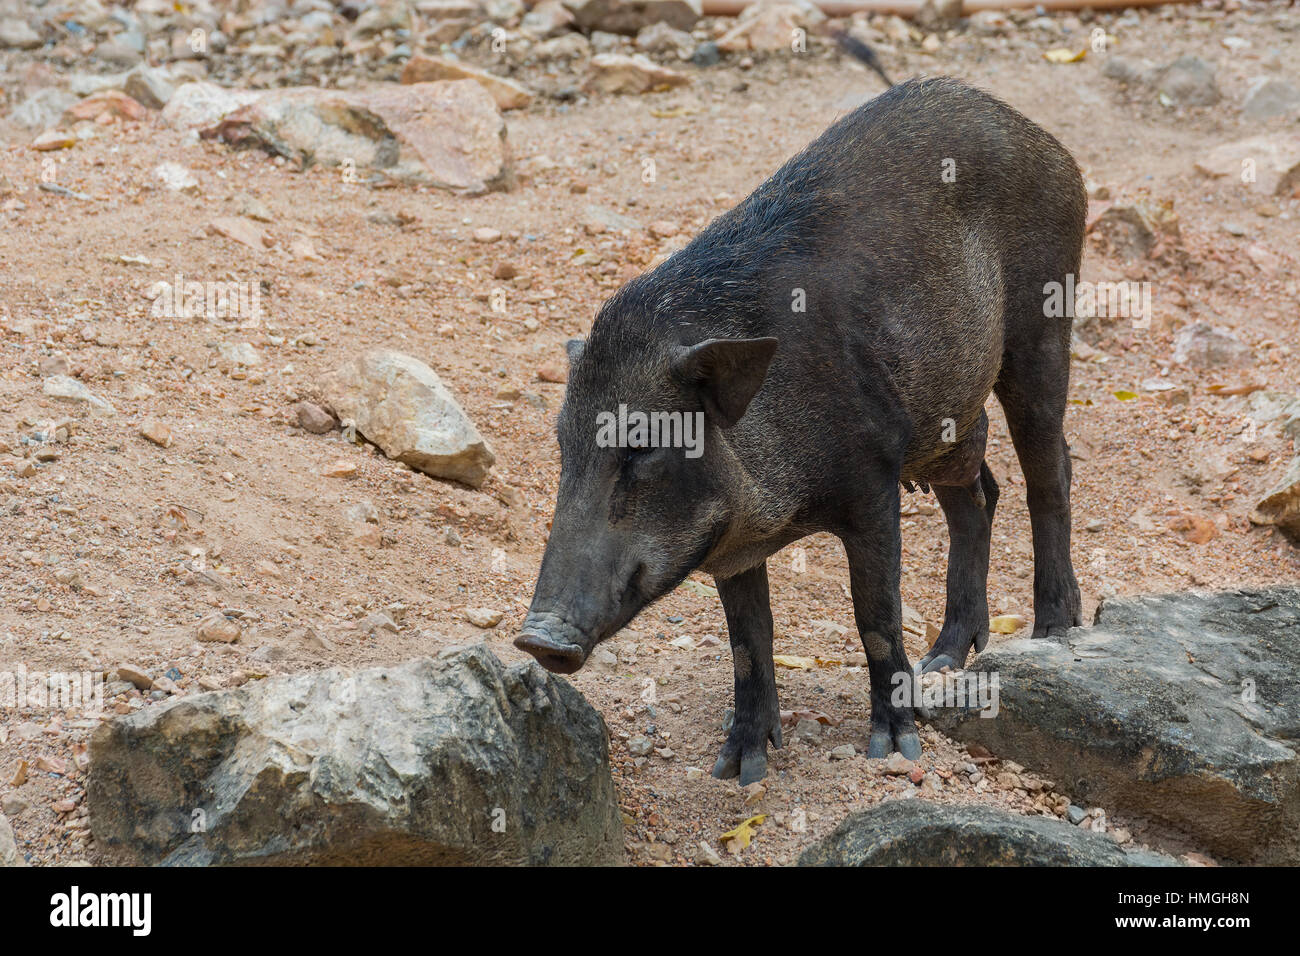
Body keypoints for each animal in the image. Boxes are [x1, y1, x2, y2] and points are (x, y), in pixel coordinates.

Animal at [516, 71, 1085, 785]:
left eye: (644, 447)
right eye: (562, 447)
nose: (536, 638)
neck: (776, 508)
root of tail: (1039, 136)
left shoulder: (873, 481)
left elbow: (875, 615)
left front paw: (894, 749)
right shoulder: (735, 547)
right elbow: (749, 641)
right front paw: (738, 769)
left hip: (1044, 326)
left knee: (1050, 472)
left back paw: (1054, 633)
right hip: (949, 420)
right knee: (979, 491)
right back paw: (944, 661)